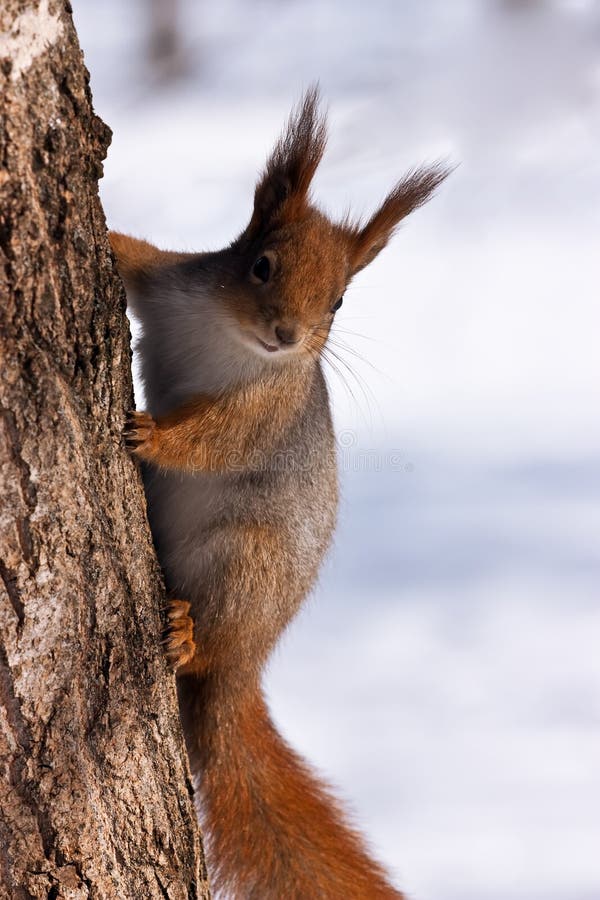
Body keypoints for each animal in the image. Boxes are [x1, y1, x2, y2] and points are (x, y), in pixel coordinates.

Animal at [110, 87, 448, 900]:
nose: (288, 335)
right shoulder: (173, 284)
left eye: (339, 301)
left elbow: (217, 440)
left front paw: (153, 437)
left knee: (209, 653)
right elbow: (134, 257)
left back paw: (189, 637)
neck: (231, 339)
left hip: (245, 562)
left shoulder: (267, 409)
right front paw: (101, 232)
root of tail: (250, 668)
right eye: (260, 264)